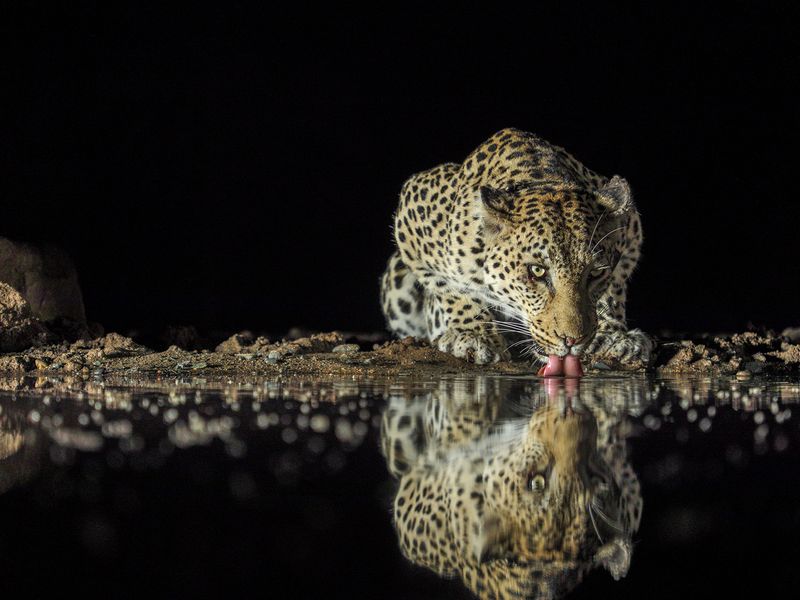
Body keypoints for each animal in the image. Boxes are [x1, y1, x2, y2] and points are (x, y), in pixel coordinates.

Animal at [380, 128, 652, 369]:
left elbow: (615, 287)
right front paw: (474, 334)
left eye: (595, 273)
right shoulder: (412, 211)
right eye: (537, 271)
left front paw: (613, 336)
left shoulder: (631, 227)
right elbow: (450, 287)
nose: (572, 340)